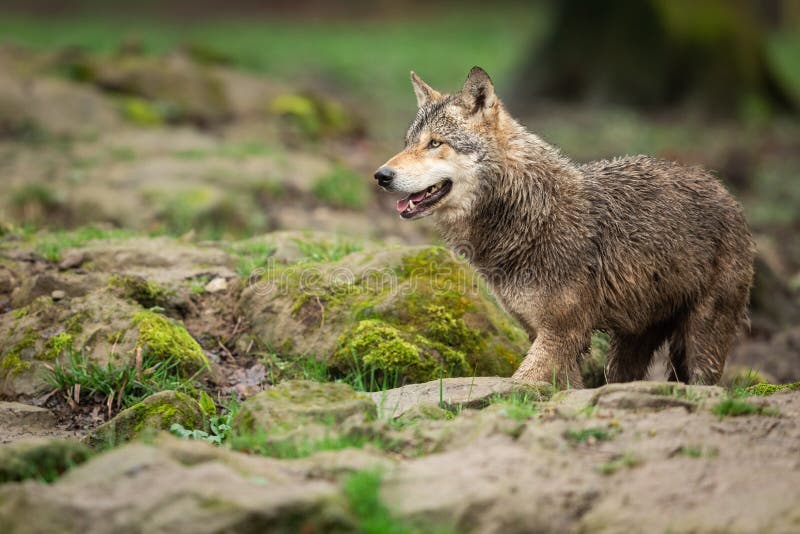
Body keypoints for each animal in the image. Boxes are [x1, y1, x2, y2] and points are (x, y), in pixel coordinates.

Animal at [374, 67, 755, 387]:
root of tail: (722, 188)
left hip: (700, 338)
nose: (381, 175)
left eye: (435, 143)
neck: (529, 212)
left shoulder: (561, 334)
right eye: (408, 143)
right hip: (629, 346)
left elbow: (521, 384)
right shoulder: (541, 333)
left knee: (704, 382)